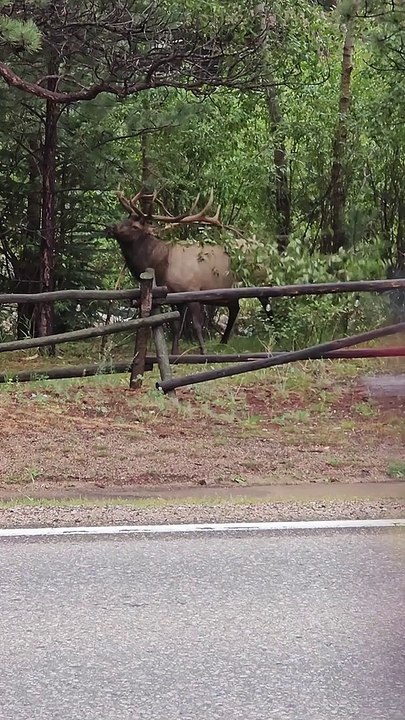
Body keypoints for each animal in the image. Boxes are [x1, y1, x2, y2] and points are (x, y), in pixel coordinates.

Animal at [105, 189, 240, 354]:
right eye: (125, 218)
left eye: (135, 227)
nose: (111, 227)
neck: (161, 268)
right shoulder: (174, 296)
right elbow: (176, 325)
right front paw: (174, 353)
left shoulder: (192, 290)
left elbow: (197, 325)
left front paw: (203, 352)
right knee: (235, 308)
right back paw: (223, 343)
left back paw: (223, 342)